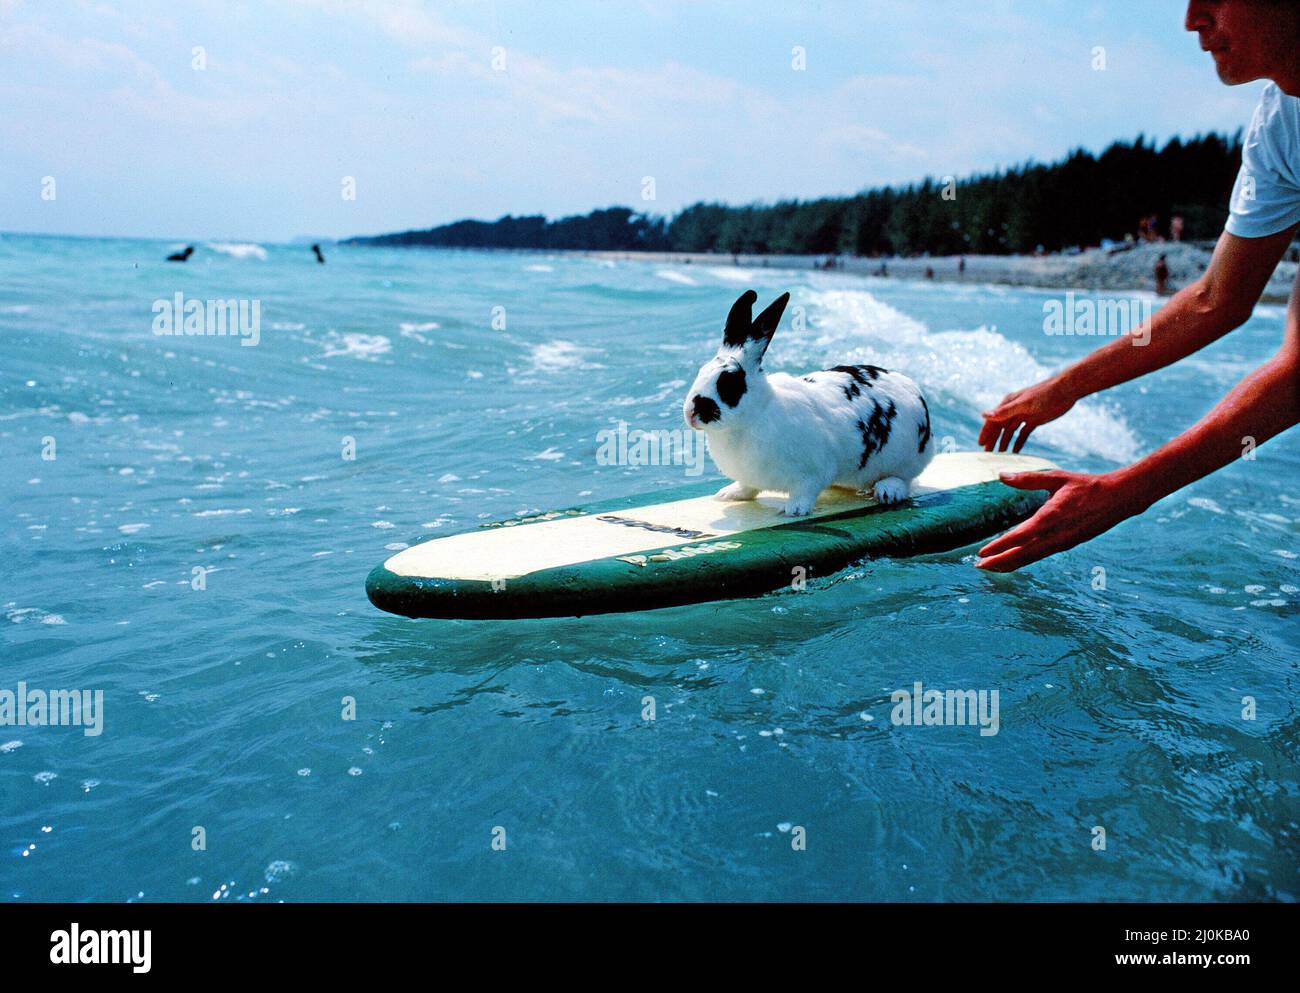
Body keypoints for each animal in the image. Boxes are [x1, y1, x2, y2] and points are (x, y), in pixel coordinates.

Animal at [683, 289, 934, 517]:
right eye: (700, 372)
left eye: (728, 384)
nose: (690, 414)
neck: (756, 414)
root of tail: (916, 393)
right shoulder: (751, 477)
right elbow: (748, 488)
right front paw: (729, 494)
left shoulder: (812, 472)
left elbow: (805, 491)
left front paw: (793, 510)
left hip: (905, 458)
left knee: (905, 479)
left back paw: (887, 490)